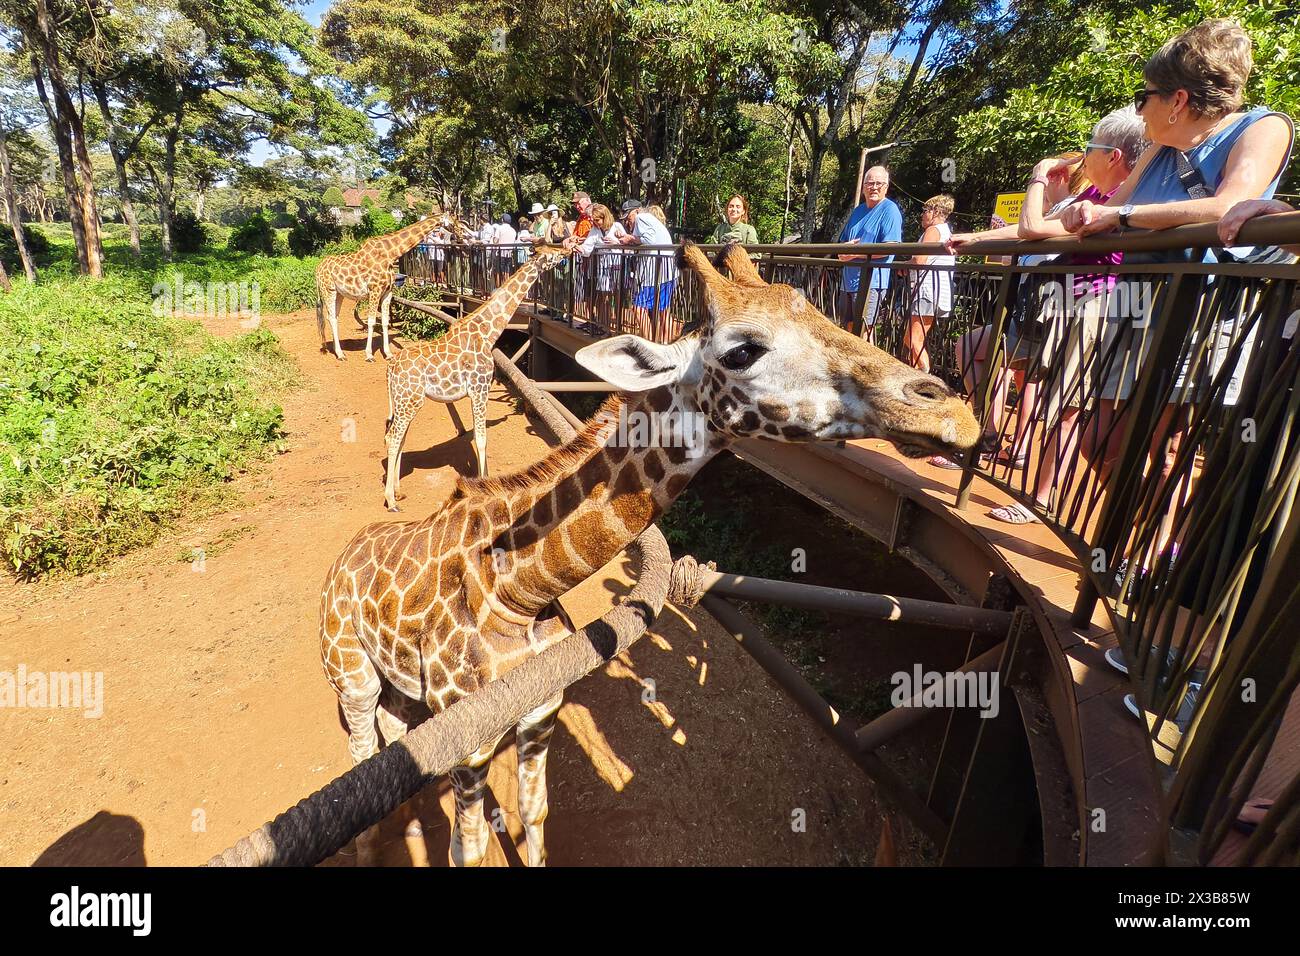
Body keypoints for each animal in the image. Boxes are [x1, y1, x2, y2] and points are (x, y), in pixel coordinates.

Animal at [315, 215, 474, 362]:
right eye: (459, 225)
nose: (469, 239)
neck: (390, 254)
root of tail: (317, 269)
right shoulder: (374, 290)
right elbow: (371, 321)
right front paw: (369, 355)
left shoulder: (387, 292)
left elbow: (385, 321)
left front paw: (388, 353)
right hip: (328, 290)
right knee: (331, 317)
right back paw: (340, 354)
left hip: (339, 293)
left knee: (334, 316)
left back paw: (338, 351)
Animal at [384, 244, 568, 507]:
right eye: (551, 253)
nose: (567, 250)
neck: (487, 332)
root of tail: (390, 369)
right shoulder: (480, 388)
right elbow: (482, 439)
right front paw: (484, 487)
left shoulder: (475, 392)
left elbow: (479, 436)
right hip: (409, 400)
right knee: (392, 438)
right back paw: (391, 500)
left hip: (405, 401)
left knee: (399, 438)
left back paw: (399, 491)